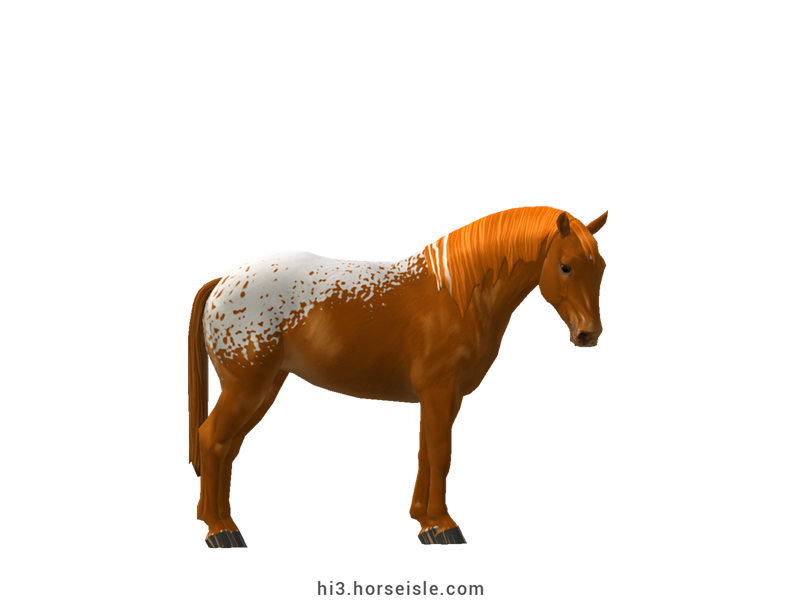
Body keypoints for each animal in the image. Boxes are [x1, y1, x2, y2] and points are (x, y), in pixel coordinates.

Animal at [189, 207, 606, 538]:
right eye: (565, 266)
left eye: (597, 265)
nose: (587, 333)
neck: (457, 295)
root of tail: (223, 282)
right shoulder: (437, 388)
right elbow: (440, 451)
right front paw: (443, 522)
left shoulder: (440, 393)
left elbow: (426, 451)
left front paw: (422, 518)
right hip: (242, 387)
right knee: (211, 440)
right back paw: (216, 528)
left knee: (222, 446)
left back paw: (222, 519)